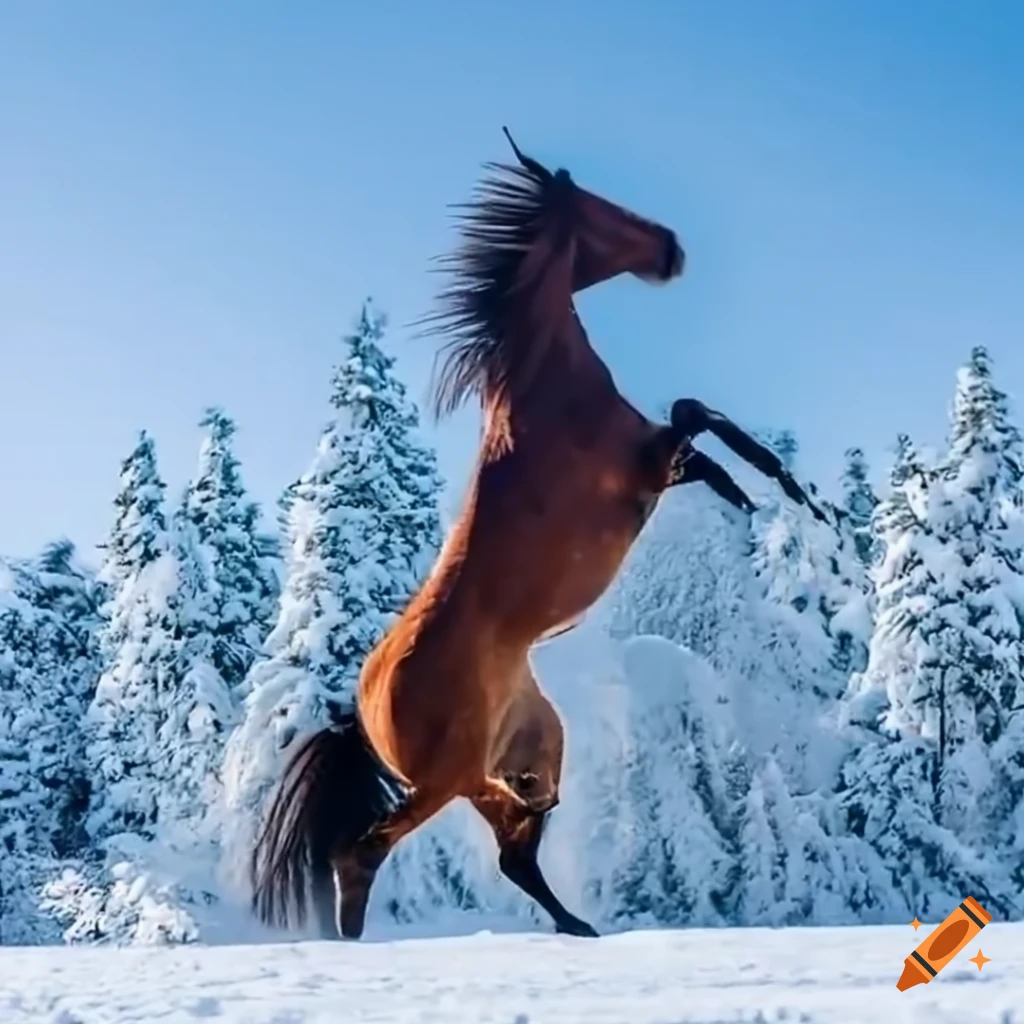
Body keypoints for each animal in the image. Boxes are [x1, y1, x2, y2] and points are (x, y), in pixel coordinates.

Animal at [250, 129, 825, 942]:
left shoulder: (656, 468)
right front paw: (783, 494)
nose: (671, 247)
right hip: (452, 779)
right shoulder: (644, 463)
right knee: (369, 852)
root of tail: (357, 713)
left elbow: (703, 429)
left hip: (528, 755)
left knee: (515, 848)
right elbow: (697, 416)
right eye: (608, 208)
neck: (544, 385)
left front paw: (761, 496)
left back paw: (577, 928)